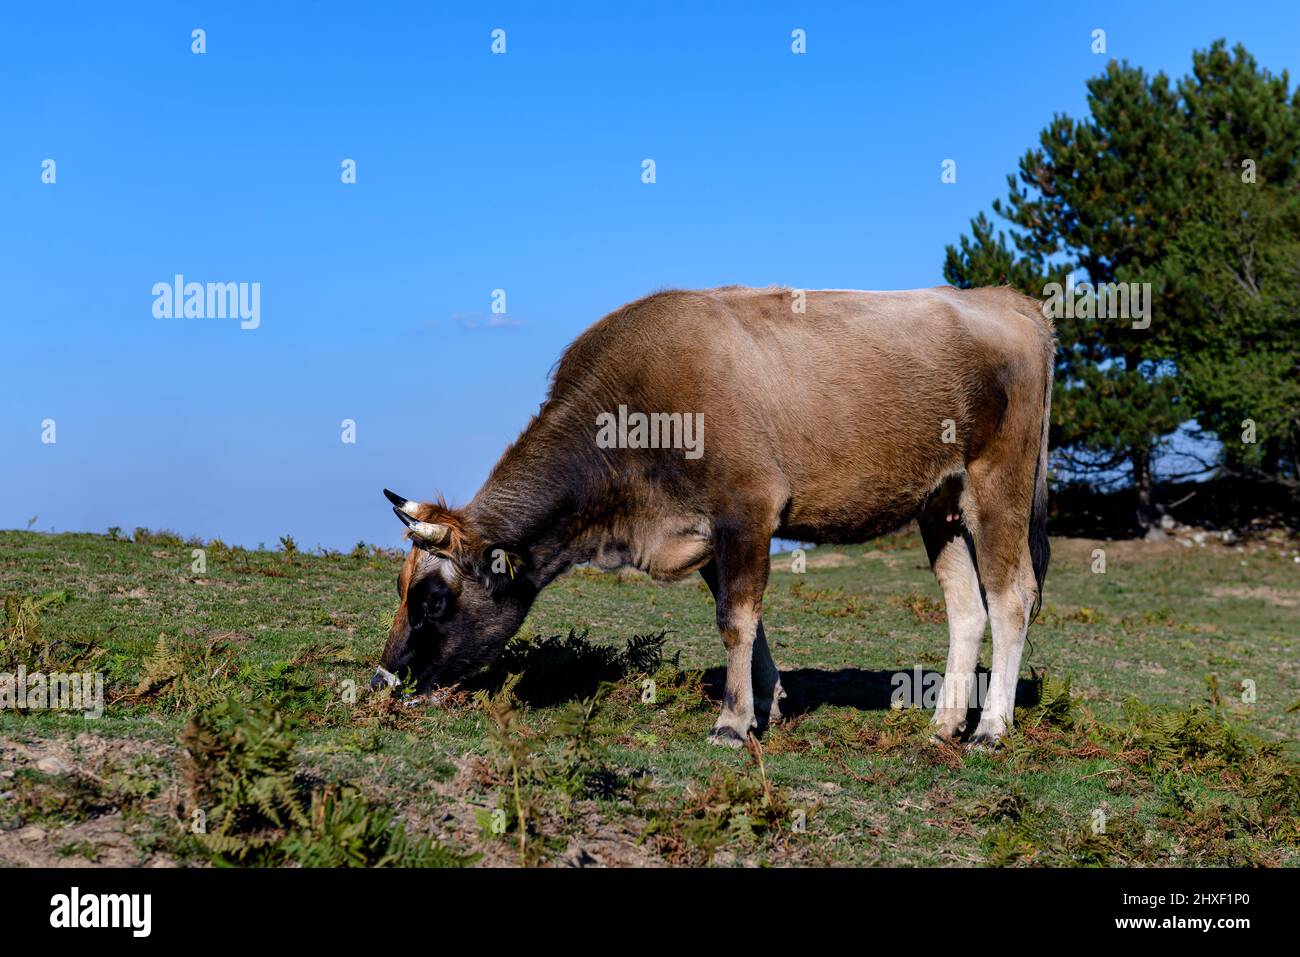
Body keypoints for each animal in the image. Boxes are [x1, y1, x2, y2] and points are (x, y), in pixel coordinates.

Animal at [373, 285, 1053, 748]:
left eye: (433, 600)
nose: (382, 679)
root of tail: (1004, 300)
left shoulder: (747, 509)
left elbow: (735, 618)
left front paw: (731, 721)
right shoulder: (703, 532)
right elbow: (745, 620)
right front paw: (767, 701)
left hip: (999, 485)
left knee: (1011, 596)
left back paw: (991, 727)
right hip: (940, 505)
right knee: (965, 607)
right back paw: (943, 723)